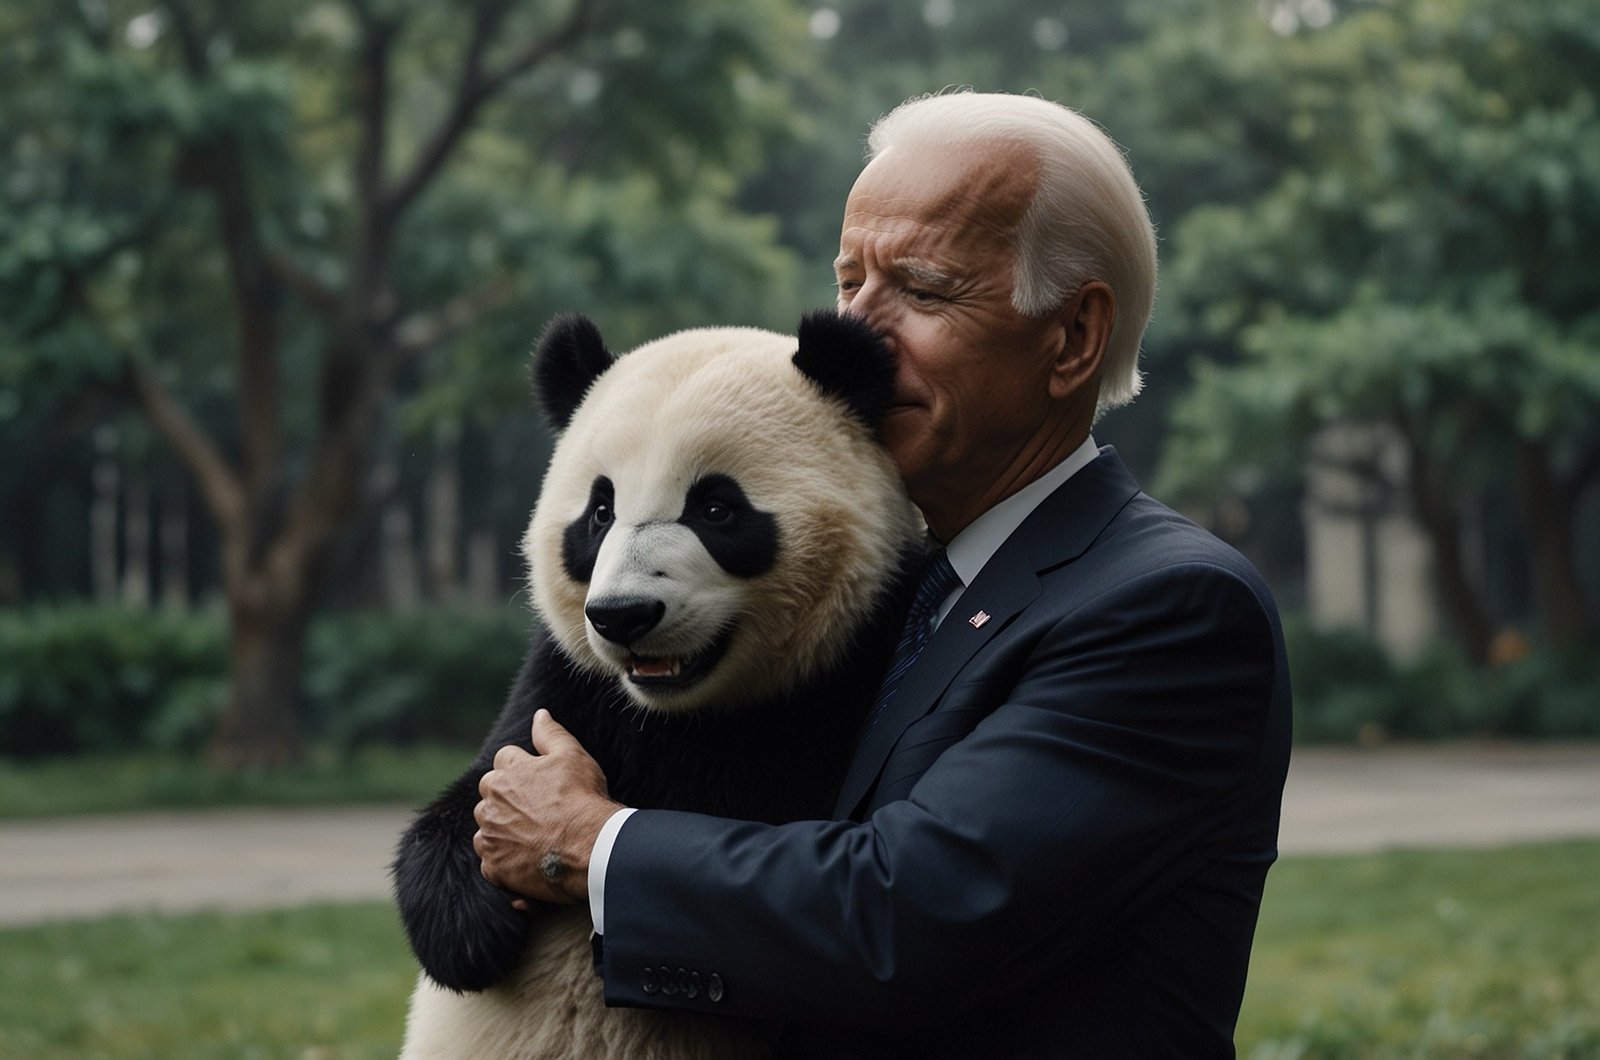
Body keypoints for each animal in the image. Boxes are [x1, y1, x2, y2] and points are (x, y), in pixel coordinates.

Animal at [392, 309, 924, 1060]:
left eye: (716, 509)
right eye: (599, 512)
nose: (625, 615)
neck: (683, 711)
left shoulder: (845, 676)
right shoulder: (570, 687)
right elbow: (473, 791)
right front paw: (472, 929)